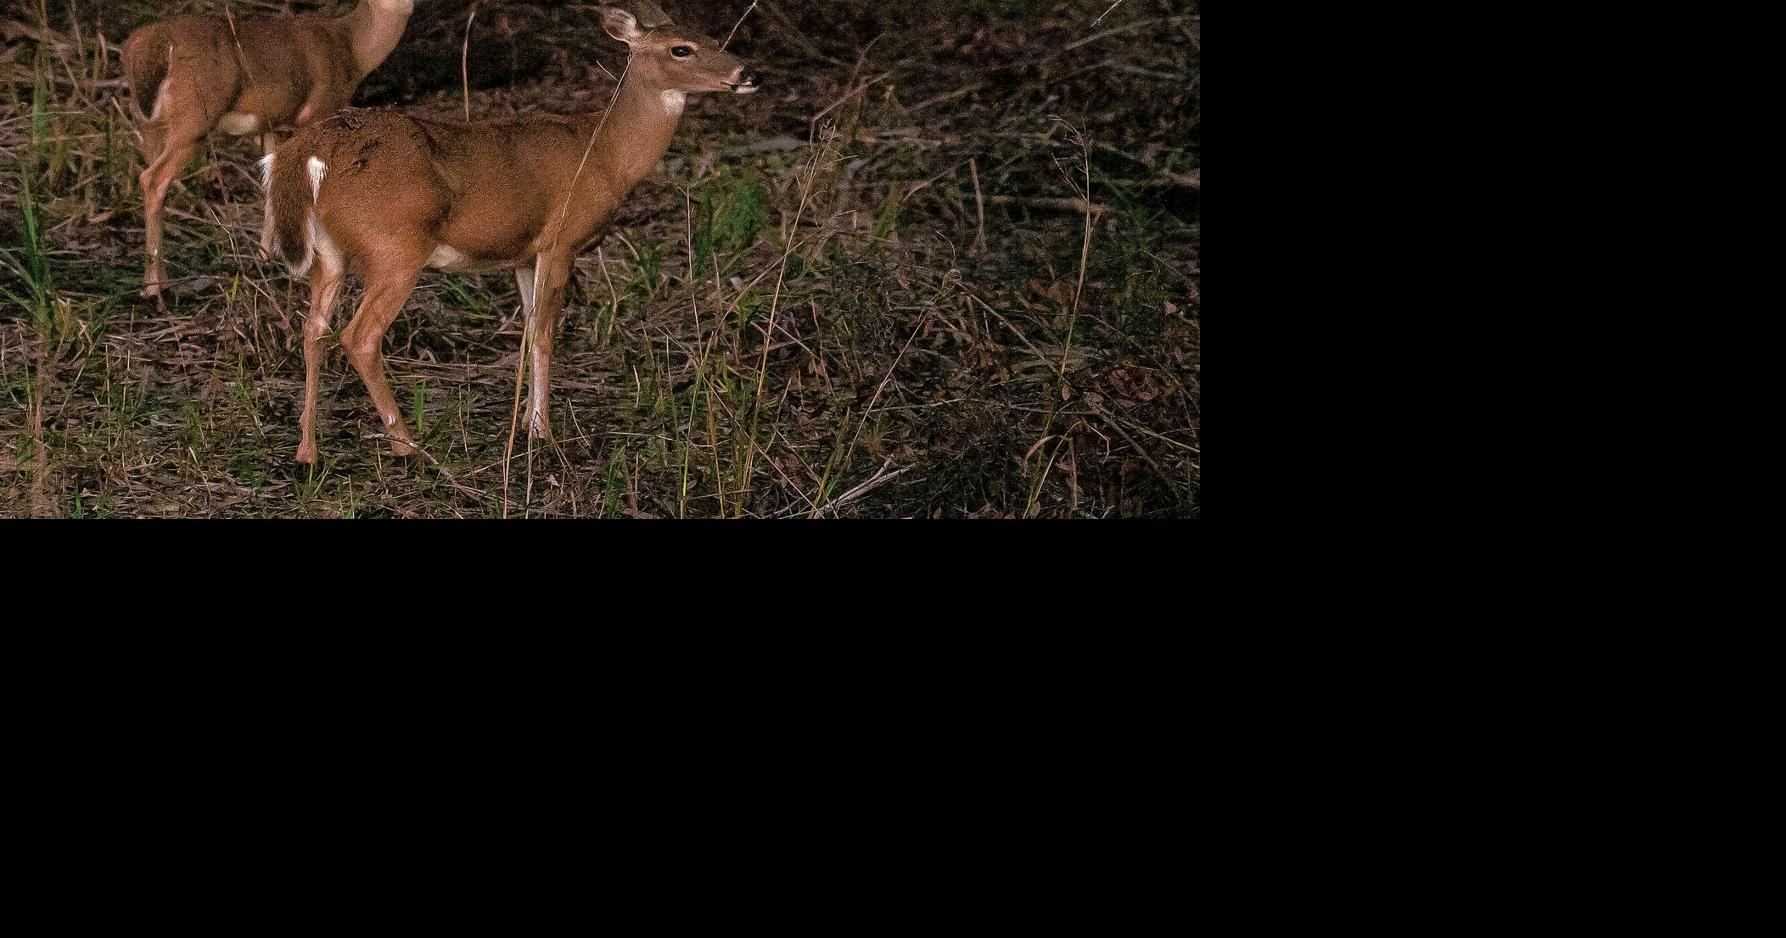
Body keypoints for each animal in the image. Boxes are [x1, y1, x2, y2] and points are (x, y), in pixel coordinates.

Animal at [120, 0, 415, 309]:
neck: (353, 47)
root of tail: (145, 46)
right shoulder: (316, 114)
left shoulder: (274, 126)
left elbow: (272, 186)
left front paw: (264, 258)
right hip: (194, 116)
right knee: (153, 179)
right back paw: (153, 289)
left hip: (149, 122)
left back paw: (159, 282)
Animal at [262, 2, 760, 465]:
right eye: (681, 48)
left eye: (713, 38)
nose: (748, 73)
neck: (604, 154)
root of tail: (309, 151)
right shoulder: (561, 239)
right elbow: (544, 333)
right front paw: (542, 432)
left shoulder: (523, 254)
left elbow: (526, 329)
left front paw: (524, 420)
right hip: (394, 245)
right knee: (359, 336)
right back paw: (408, 444)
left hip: (329, 251)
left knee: (313, 330)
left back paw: (307, 452)